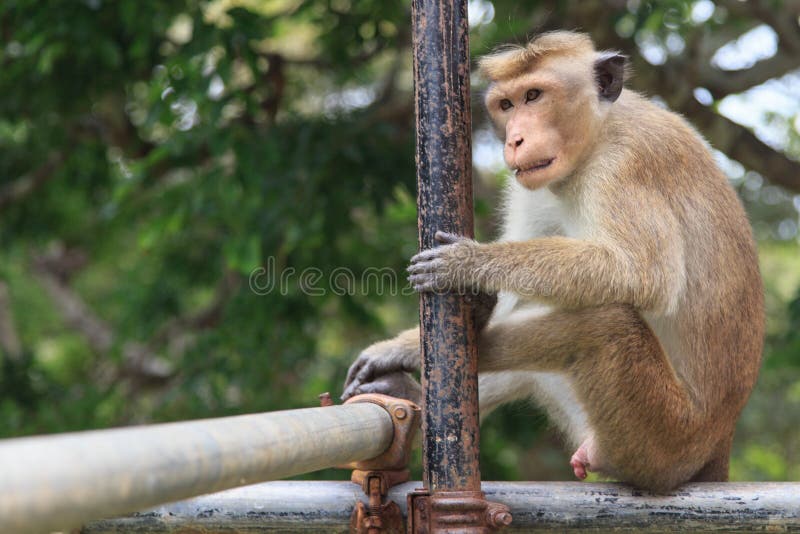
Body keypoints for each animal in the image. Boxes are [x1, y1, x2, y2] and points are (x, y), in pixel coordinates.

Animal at [342, 31, 764, 492]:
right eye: (506, 105)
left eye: (534, 95)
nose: (515, 140)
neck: (597, 134)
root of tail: (719, 439)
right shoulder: (535, 184)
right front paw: (401, 345)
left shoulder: (625, 164)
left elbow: (641, 273)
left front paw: (467, 261)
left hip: (664, 438)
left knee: (605, 325)